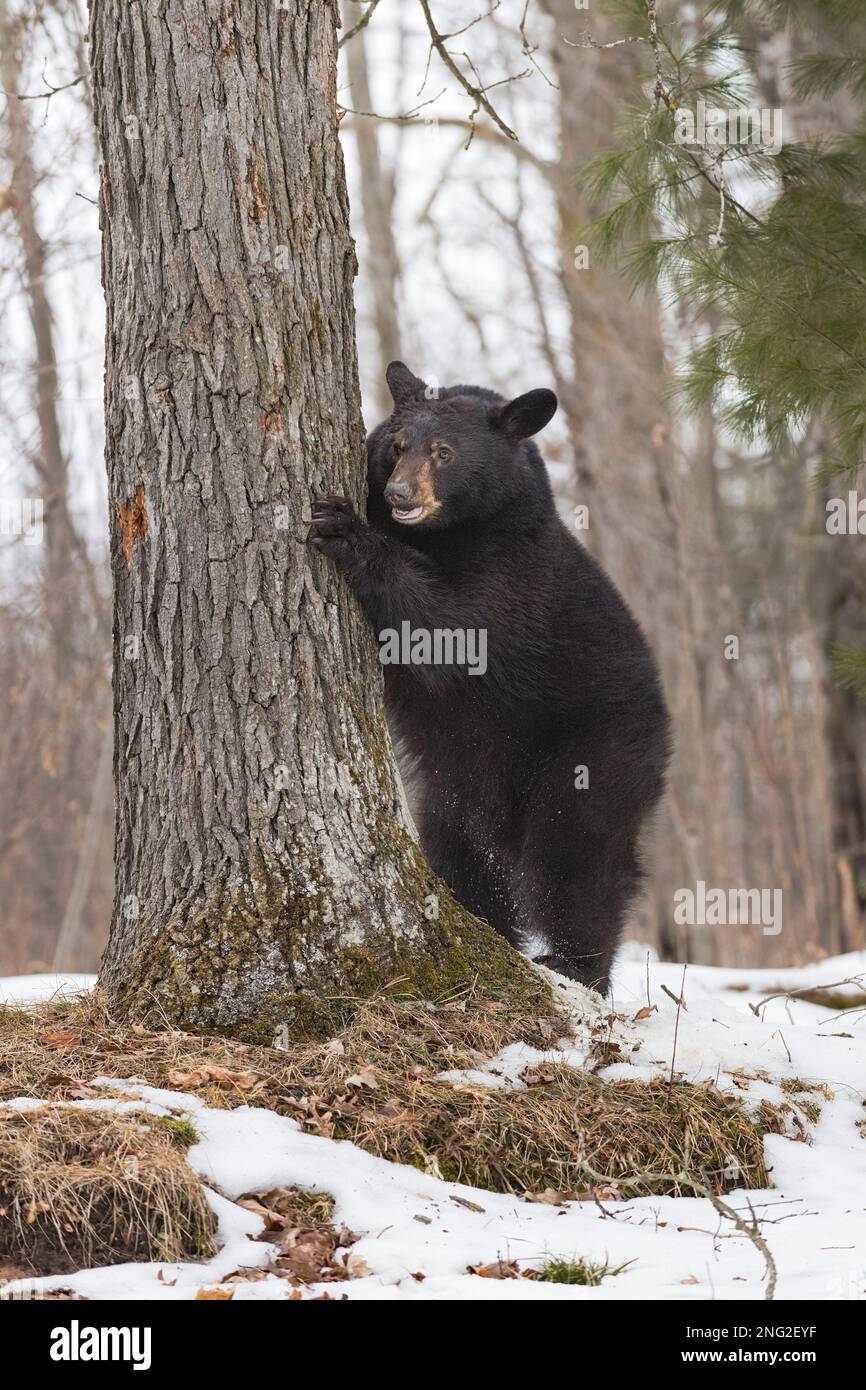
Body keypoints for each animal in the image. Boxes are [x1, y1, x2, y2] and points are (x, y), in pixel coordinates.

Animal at [308, 360, 671, 993]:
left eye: (444, 453)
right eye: (398, 445)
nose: (399, 494)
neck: (455, 531)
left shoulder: (513, 581)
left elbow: (449, 628)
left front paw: (345, 530)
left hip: (597, 751)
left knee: (581, 856)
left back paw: (577, 965)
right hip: (458, 784)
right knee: (468, 853)